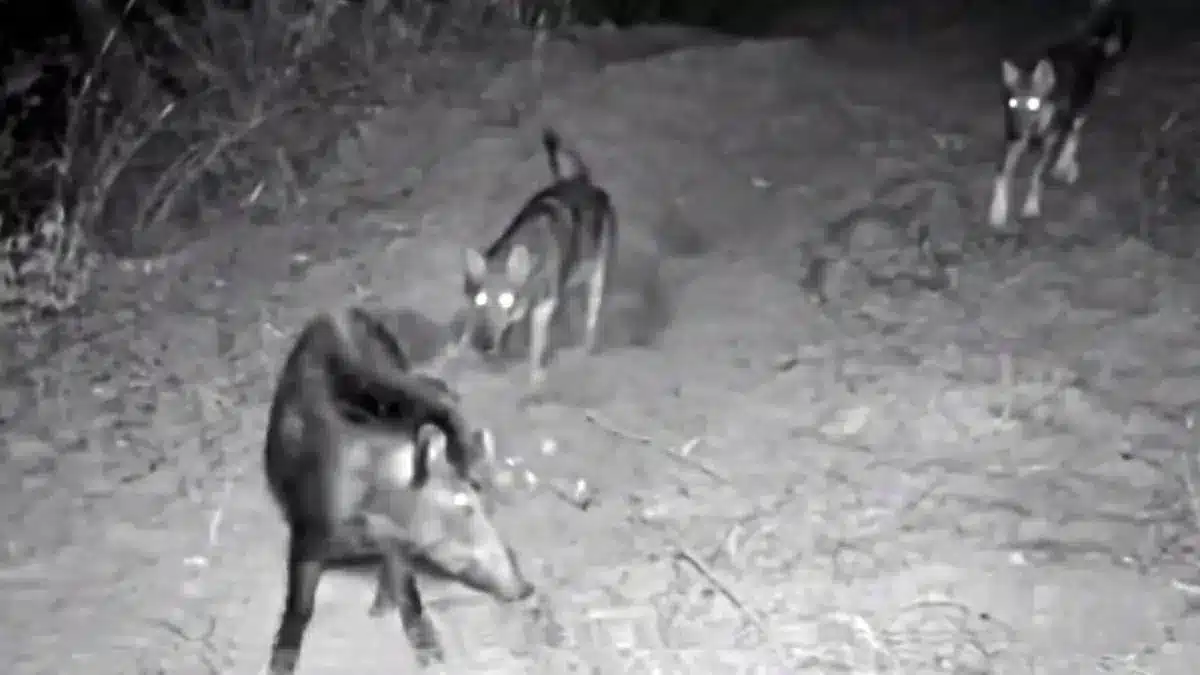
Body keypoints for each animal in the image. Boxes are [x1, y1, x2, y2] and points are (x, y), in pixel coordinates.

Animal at [263, 306, 534, 675]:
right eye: (463, 505)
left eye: (485, 502)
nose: (526, 588)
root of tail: (339, 312)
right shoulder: (307, 529)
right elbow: (300, 600)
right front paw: (278, 665)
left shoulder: (398, 544)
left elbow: (408, 588)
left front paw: (432, 656)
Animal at [459, 127, 618, 389]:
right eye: (480, 300)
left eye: (506, 300)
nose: (484, 344)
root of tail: (582, 181)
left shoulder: (543, 308)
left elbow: (536, 348)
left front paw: (534, 380)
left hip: (596, 275)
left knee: (591, 316)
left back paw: (586, 346)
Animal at [987, 0, 1133, 232]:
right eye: (1012, 103)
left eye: (1034, 103)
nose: (1018, 132)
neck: (1037, 127)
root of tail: (1086, 44)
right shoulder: (1012, 144)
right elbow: (1001, 177)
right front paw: (998, 212)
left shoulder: (1048, 144)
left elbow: (1036, 177)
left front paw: (1031, 206)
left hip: (1079, 109)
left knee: (1073, 136)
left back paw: (1065, 165)